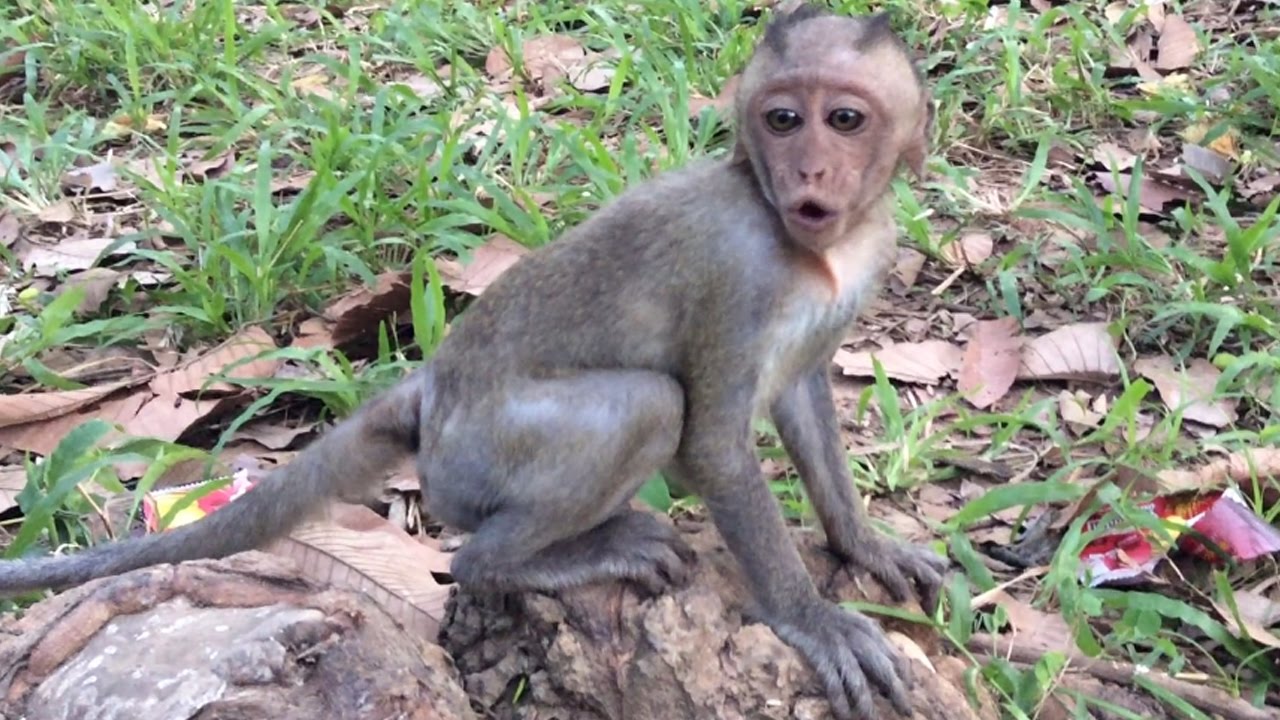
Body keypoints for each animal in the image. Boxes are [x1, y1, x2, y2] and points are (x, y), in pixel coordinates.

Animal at [0, 6, 947, 719]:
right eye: (784, 118)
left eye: (844, 118)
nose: (809, 169)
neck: (811, 248)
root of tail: (435, 390)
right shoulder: (734, 268)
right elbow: (712, 444)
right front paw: (811, 617)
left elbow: (802, 397)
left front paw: (861, 542)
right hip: (477, 457)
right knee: (644, 406)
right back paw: (518, 561)